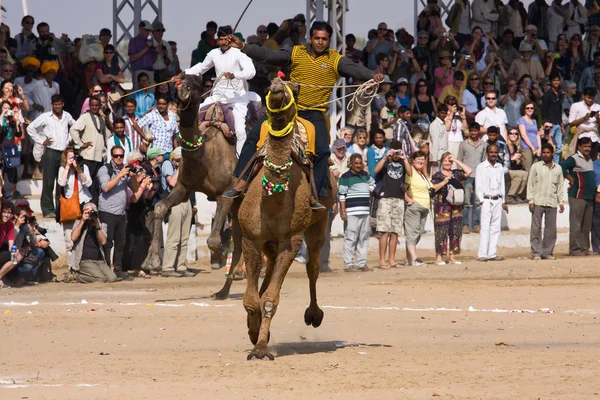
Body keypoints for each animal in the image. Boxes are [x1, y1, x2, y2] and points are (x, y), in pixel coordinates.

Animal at [142, 76, 243, 298]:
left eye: (196, 83)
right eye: (180, 80)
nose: (183, 92)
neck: (204, 156)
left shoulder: (226, 193)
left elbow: (213, 240)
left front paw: (220, 256)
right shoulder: (184, 187)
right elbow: (160, 207)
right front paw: (151, 261)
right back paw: (223, 291)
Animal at [237, 77, 336, 360]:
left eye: (296, 87)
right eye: (271, 83)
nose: (278, 86)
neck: (273, 200)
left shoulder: (290, 241)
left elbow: (271, 300)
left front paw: (260, 348)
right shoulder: (250, 237)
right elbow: (251, 301)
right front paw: (254, 333)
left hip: (319, 223)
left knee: (312, 266)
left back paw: (314, 314)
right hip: (268, 242)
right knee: (268, 270)